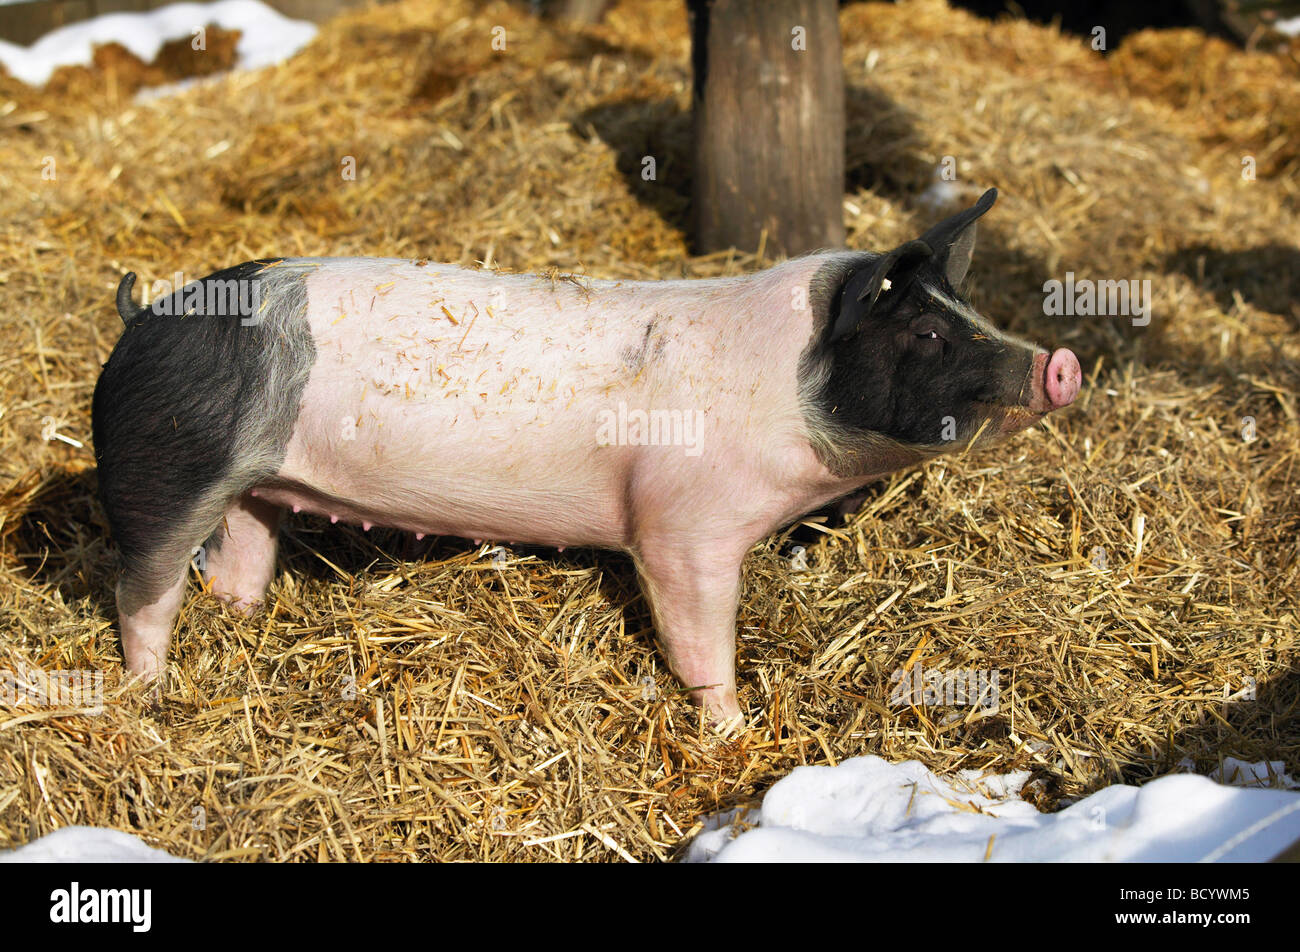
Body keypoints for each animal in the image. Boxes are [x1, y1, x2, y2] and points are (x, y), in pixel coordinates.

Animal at [92, 188, 1080, 727]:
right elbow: (697, 635)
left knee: (237, 564)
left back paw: (240, 628)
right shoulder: (682, 529)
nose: (1058, 364)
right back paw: (148, 696)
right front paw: (734, 728)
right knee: (141, 590)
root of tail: (139, 319)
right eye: (924, 333)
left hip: (255, 488)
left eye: (967, 308)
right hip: (164, 468)